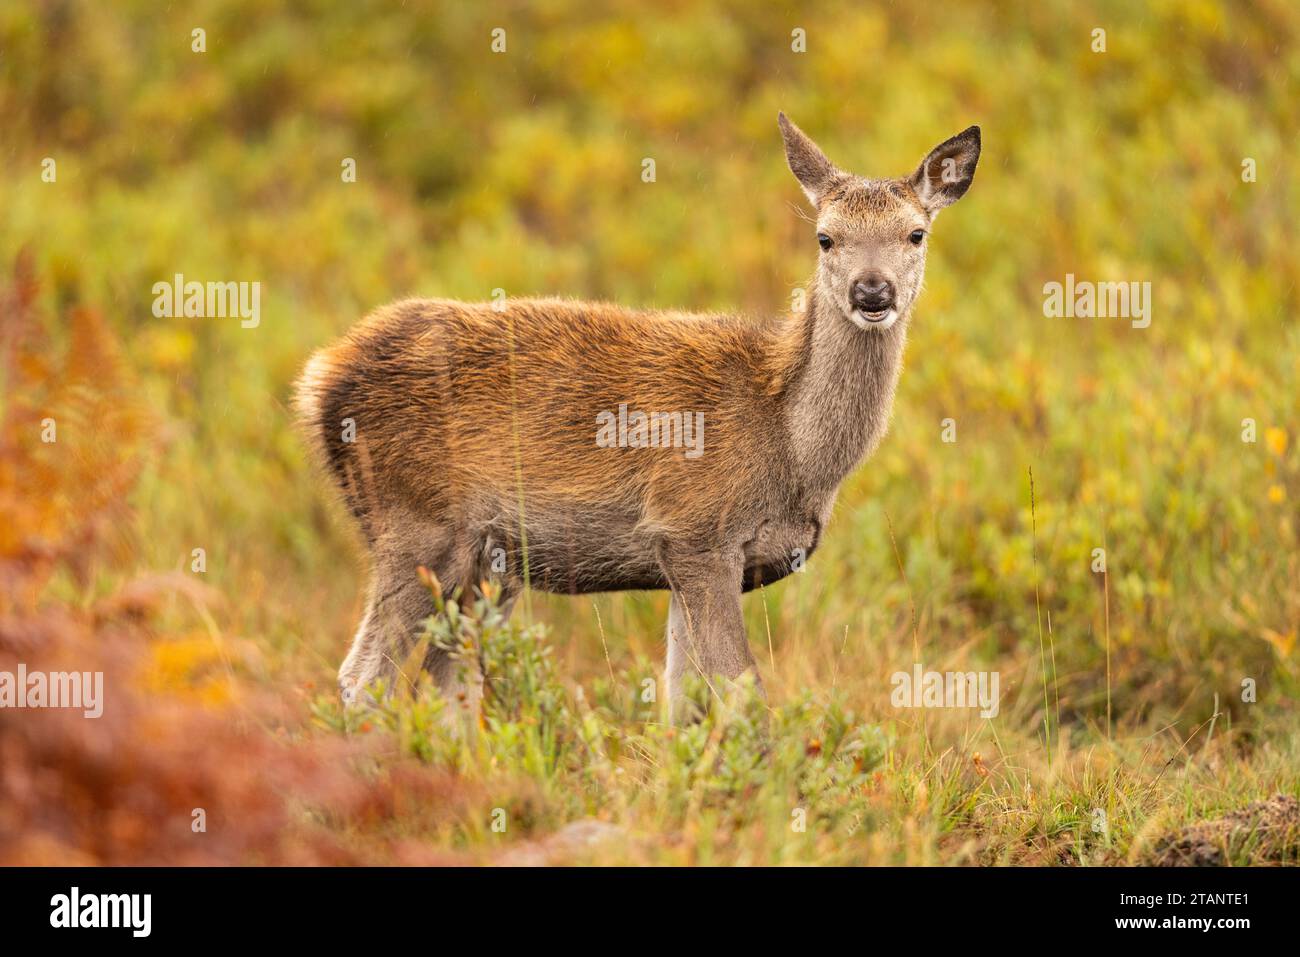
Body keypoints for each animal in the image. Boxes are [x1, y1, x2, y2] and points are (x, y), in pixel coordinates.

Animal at [294, 114, 980, 722]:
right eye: (825, 237)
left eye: (916, 234)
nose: (873, 292)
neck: (791, 446)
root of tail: (320, 378)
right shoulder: (698, 529)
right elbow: (743, 697)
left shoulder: (683, 559)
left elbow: (682, 705)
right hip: (417, 522)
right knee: (364, 677)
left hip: (485, 562)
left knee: (443, 685)